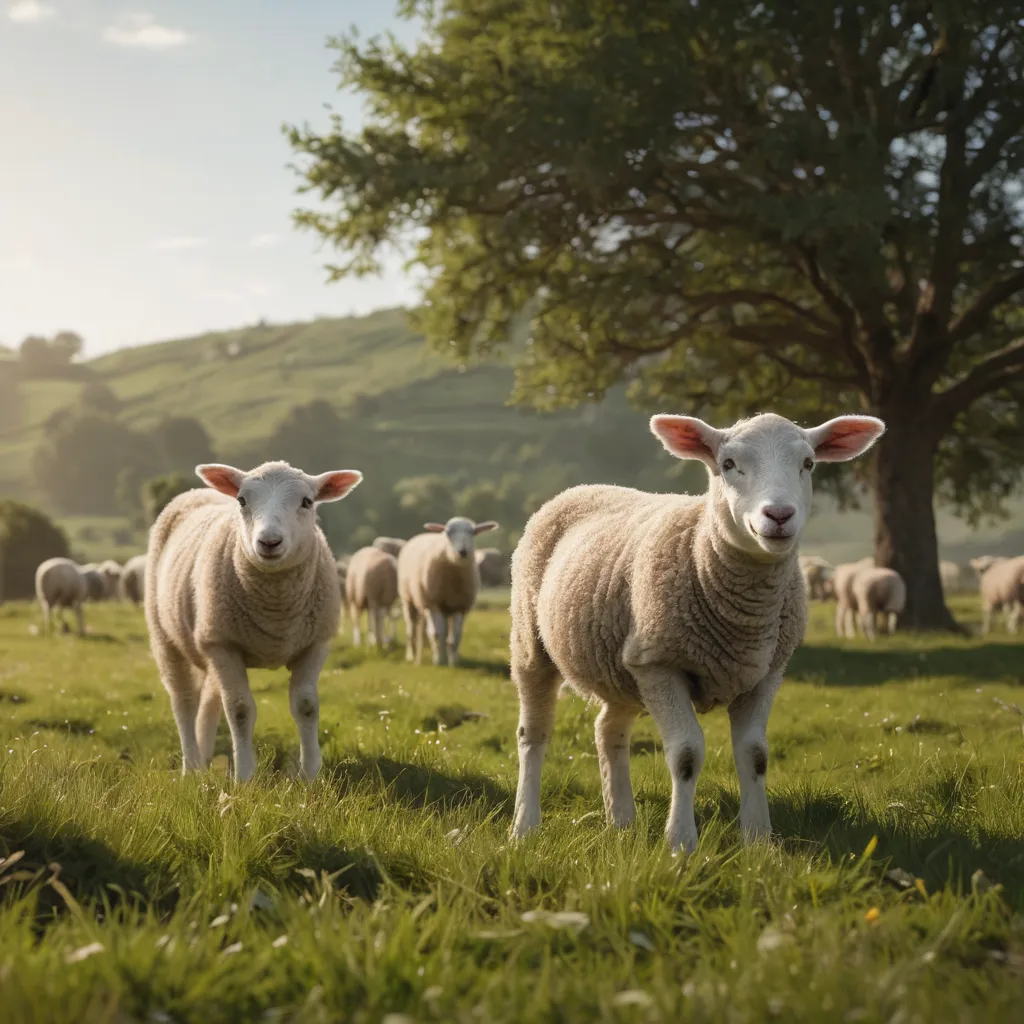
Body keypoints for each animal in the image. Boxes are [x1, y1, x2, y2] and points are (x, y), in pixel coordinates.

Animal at [145, 460, 362, 780]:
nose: (269, 542)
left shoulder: (315, 642)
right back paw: (192, 767)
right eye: (242, 501)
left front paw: (311, 774)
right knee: (184, 701)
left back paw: (205, 758)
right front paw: (245, 776)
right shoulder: (224, 644)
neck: (276, 612)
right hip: (167, 637)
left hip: (209, 643)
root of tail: (196, 491)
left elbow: (306, 706)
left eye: (307, 502)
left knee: (209, 700)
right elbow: (239, 710)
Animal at [397, 517, 499, 666]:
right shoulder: (433, 604)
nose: (463, 552)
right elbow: (436, 634)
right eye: (448, 532)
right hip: (409, 599)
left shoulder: (460, 606)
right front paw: (439, 661)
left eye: (472, 532)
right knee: (412, 628)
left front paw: (453, 662)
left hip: (444, 607)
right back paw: (412, 654)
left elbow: (455, 636)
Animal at [508, 412, 884, 852]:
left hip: (623, 667)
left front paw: (759, 840)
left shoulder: (766, 672)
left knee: (608, 731)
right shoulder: (661, 665)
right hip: (533, 645)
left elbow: (755, 754)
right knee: (533, 734)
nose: (778, 515)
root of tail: (584, 487)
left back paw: (622, 821)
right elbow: (686, 754)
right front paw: (681, 842)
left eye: (808, 463)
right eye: (728, 464)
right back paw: (524, 826)